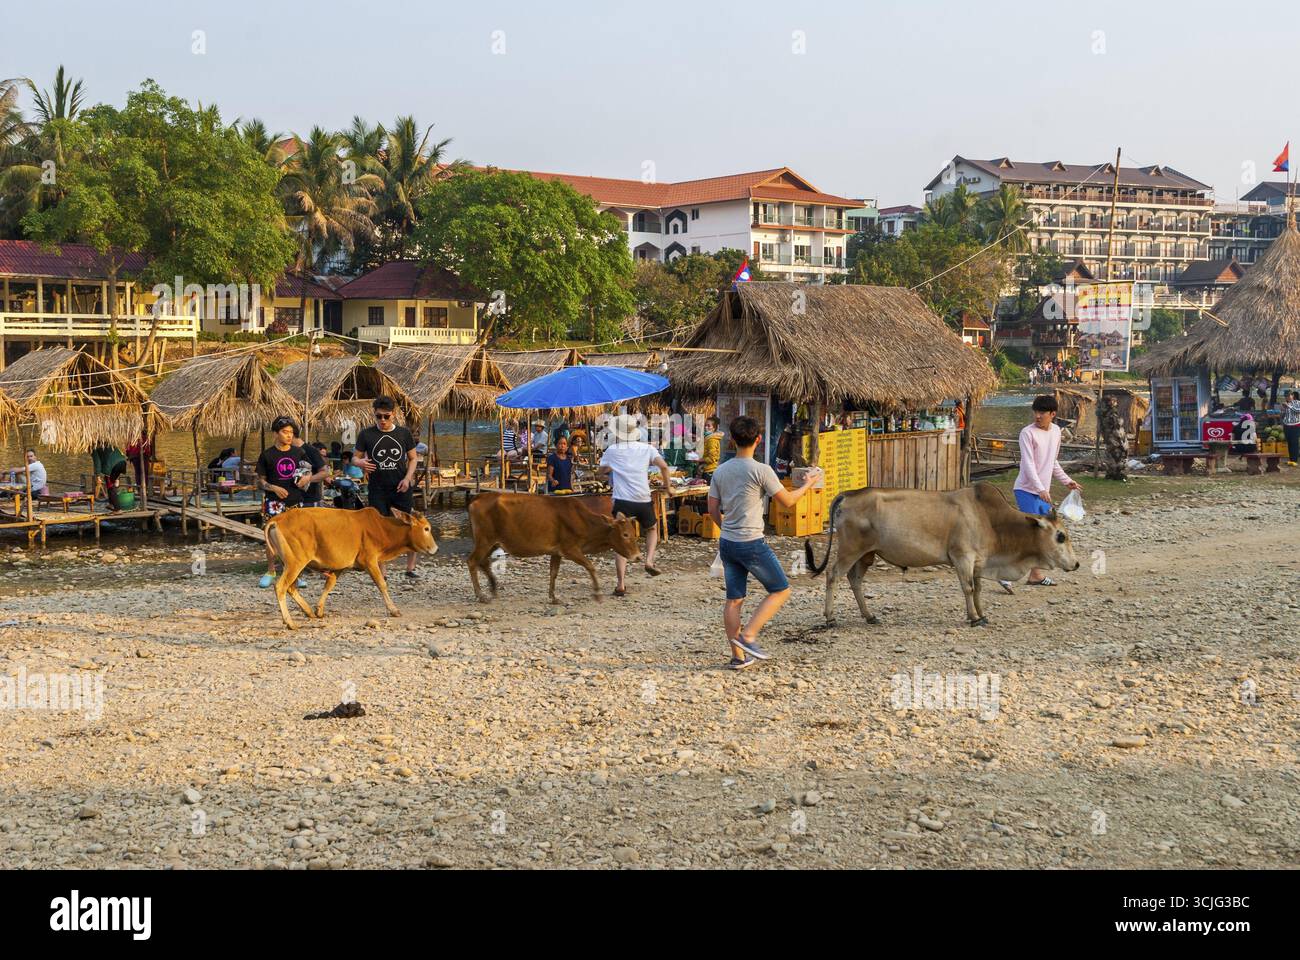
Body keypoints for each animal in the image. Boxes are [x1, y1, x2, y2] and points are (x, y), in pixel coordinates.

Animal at [265, 507, 438, 629]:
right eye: (426, 528)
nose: (435, 548)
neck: (381, 528)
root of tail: (277, 519)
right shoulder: (370, 560)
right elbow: (382, 584)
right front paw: (393, 610)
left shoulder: (341, 566)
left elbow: (329, 584)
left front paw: (319, 610)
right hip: (296, 562)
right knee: (281, 586)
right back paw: (290, 622)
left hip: (291, 563)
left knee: (291, 587)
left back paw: (307, 611)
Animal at [466, 491, 640, 603]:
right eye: (625, 534)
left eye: (633, 533)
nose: (638, 556)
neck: (584, 521)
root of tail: (478, 496)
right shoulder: (570, 549)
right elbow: (590, 566)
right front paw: (597, 593)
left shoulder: (556, 552)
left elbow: (553, 573)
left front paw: (554, 597)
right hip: (485, 539)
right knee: (472, 561)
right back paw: (480, 595)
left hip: (492, 542)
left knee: (483, 562)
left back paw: (493, 587)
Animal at [804, 483, 1080, 627]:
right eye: (1060, 536)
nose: (1076, 564)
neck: (990, 519)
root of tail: (848, 494)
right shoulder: (962, 557)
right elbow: (968, 589)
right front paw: (973, 618)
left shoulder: (978, 562)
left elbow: (977, 590)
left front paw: (982, 615)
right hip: (850, 550)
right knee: (833, 575)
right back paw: (830, 618)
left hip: (867, 554)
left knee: (855, 580)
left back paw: (869, 616)